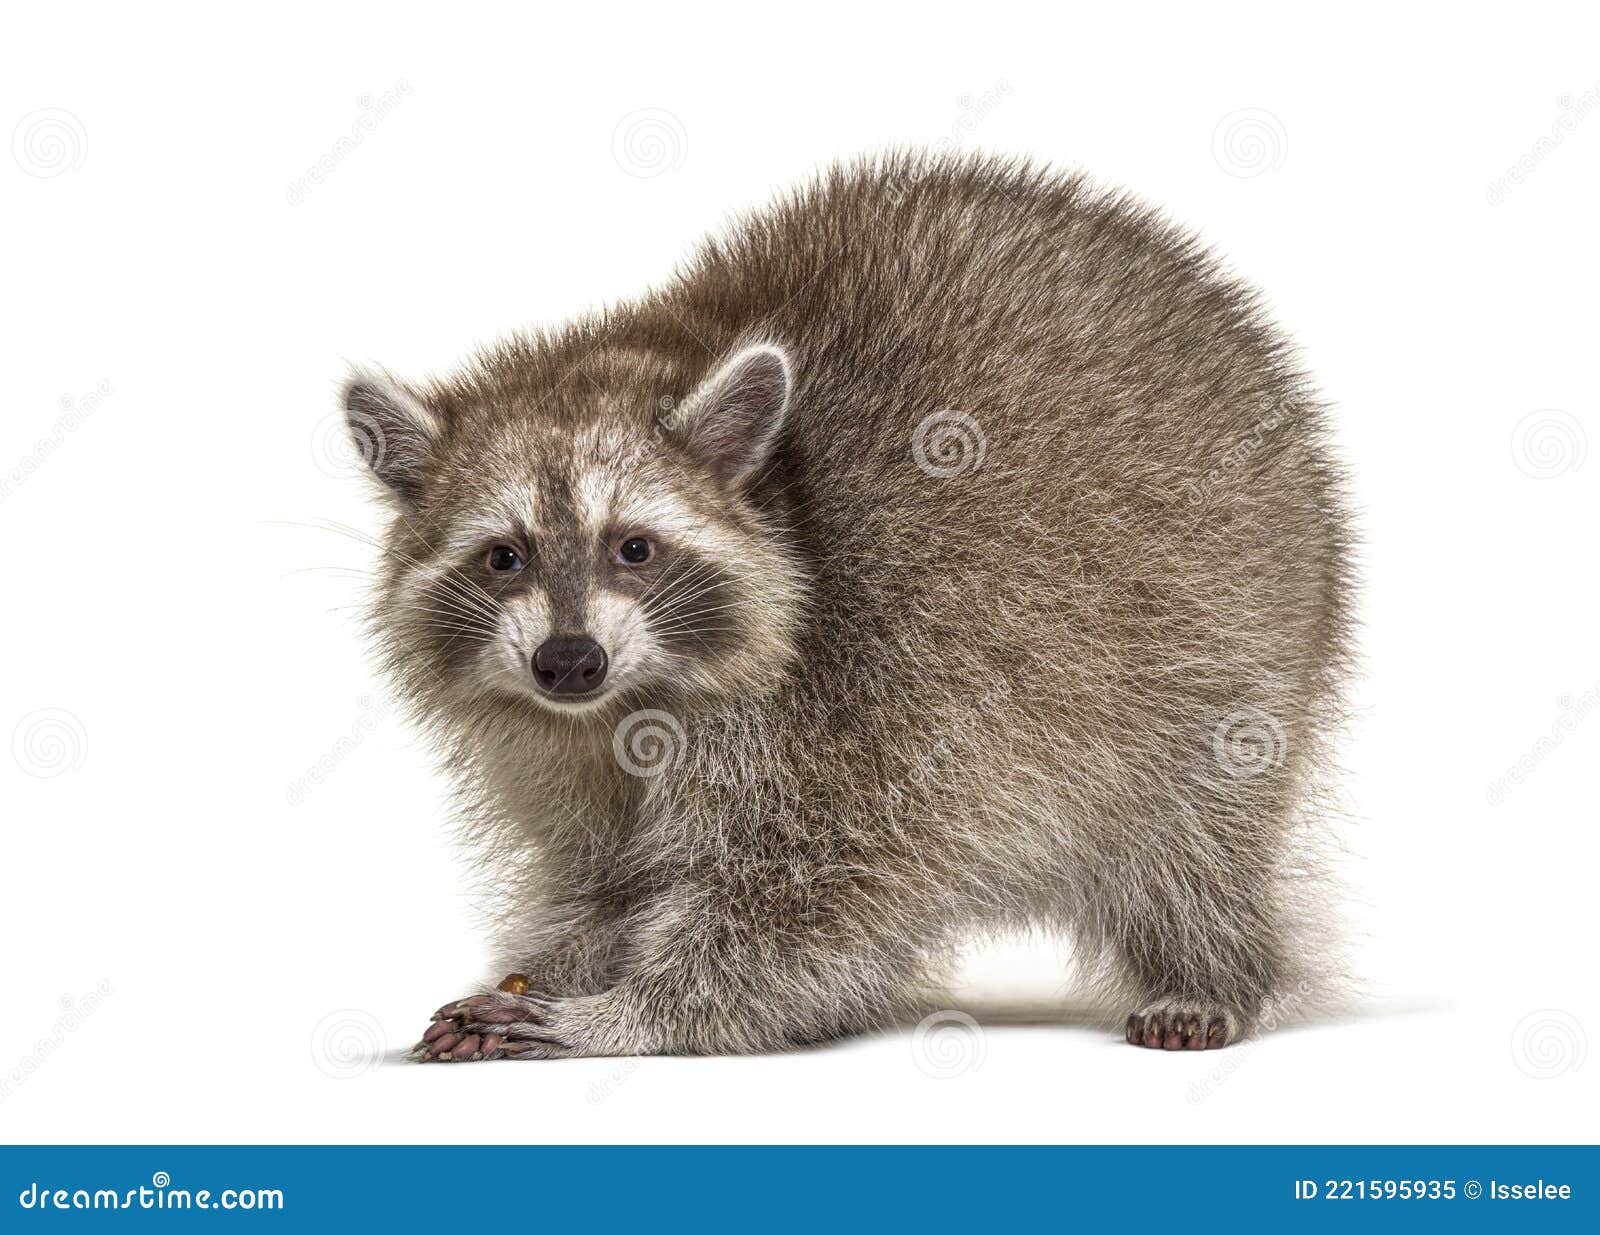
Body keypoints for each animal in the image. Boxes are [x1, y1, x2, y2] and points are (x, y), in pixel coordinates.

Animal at [342, 152, 1353, 1060]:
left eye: (633, 547)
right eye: (502, 557)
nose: (568, 660)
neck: (631, 699)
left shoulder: (876, 691)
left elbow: (813, 899)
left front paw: (627, 1012)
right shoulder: (562, 750)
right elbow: (607, 880)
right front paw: (561, 961)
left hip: (1226, 637)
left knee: (1190, 833)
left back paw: (1213, 969)